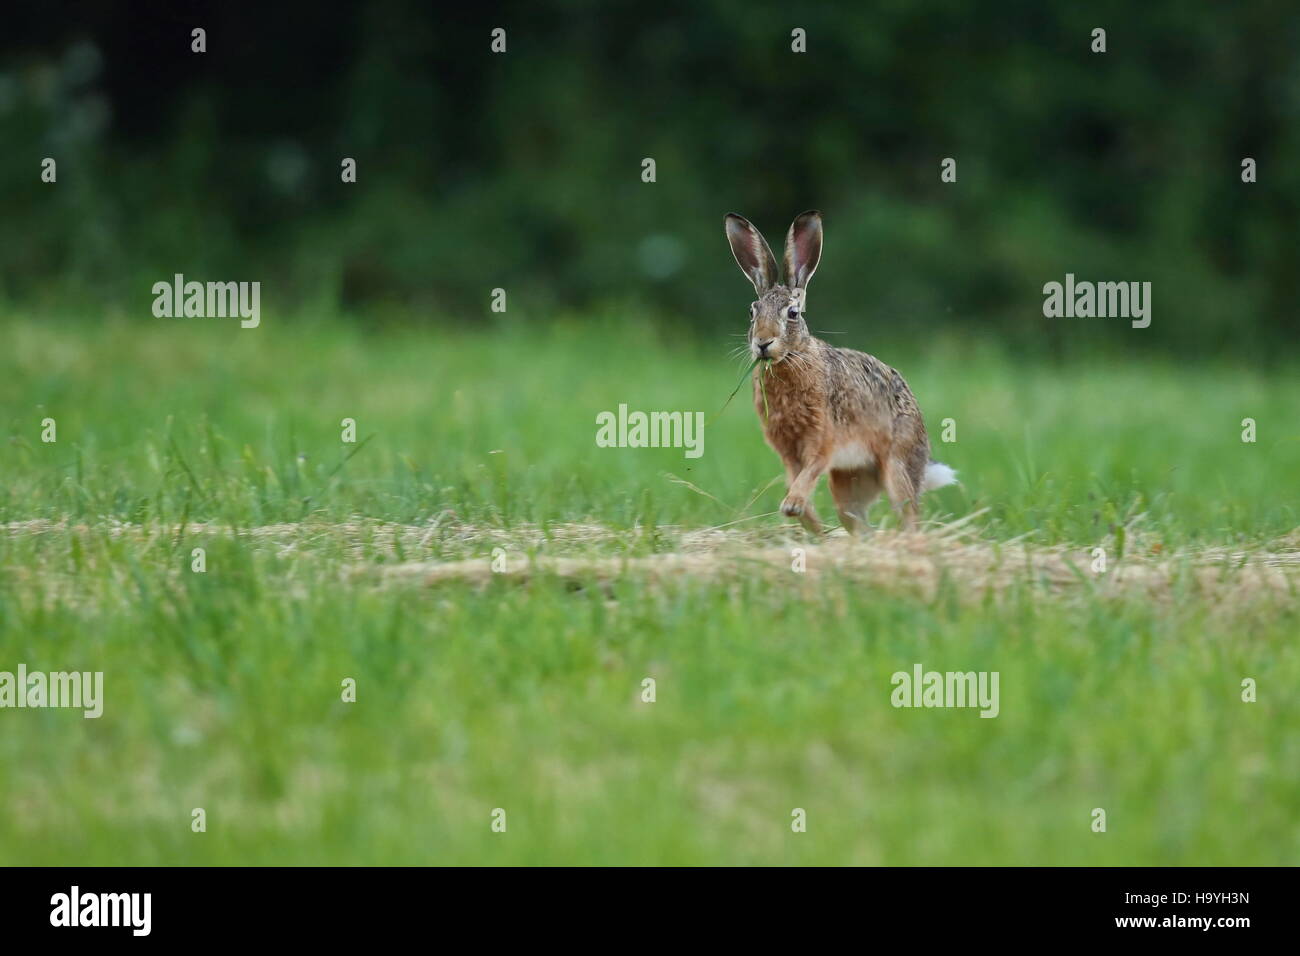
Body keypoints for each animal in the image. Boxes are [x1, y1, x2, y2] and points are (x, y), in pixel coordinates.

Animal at [724, 210, 957, 535]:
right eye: (752, 312)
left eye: (792, 314)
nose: (763, 343)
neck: (794, 358)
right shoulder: (788, 449)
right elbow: (794, 475)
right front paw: (805, 516)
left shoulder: (823, 440)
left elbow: (811, 470)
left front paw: (793, 505)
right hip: (848, 482)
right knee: (857, 521)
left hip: (897, 466)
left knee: (909, 514)